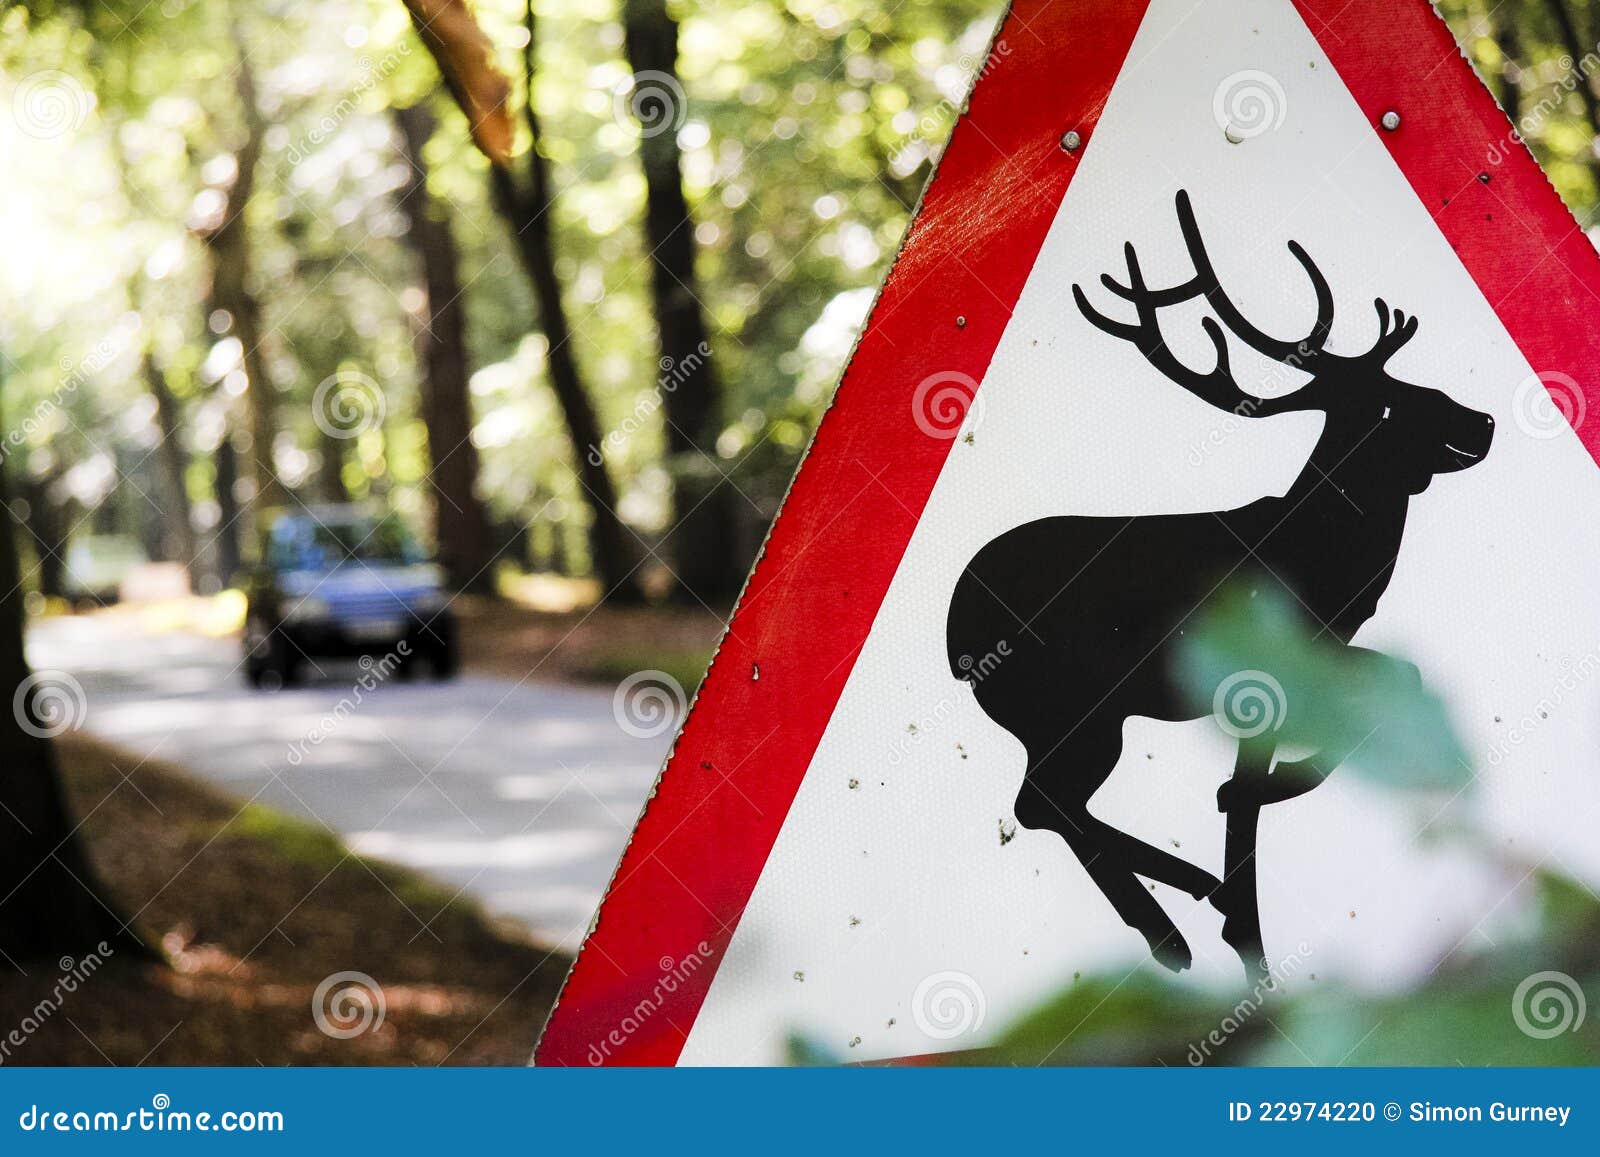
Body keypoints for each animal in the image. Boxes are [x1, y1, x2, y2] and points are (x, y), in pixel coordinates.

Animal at [945, 189, 1494, 978]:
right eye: (1395, 402)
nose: (1483, 421)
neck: (1331, 550)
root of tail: (955, 641)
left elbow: (1396, 679)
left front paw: (1247, 824)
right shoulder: (1277, 661)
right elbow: (1389, 686)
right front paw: (1248, 828)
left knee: (1043, 803)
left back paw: (1179, 921)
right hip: (1073, 705)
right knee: (1040, 801)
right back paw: (1183, 911)